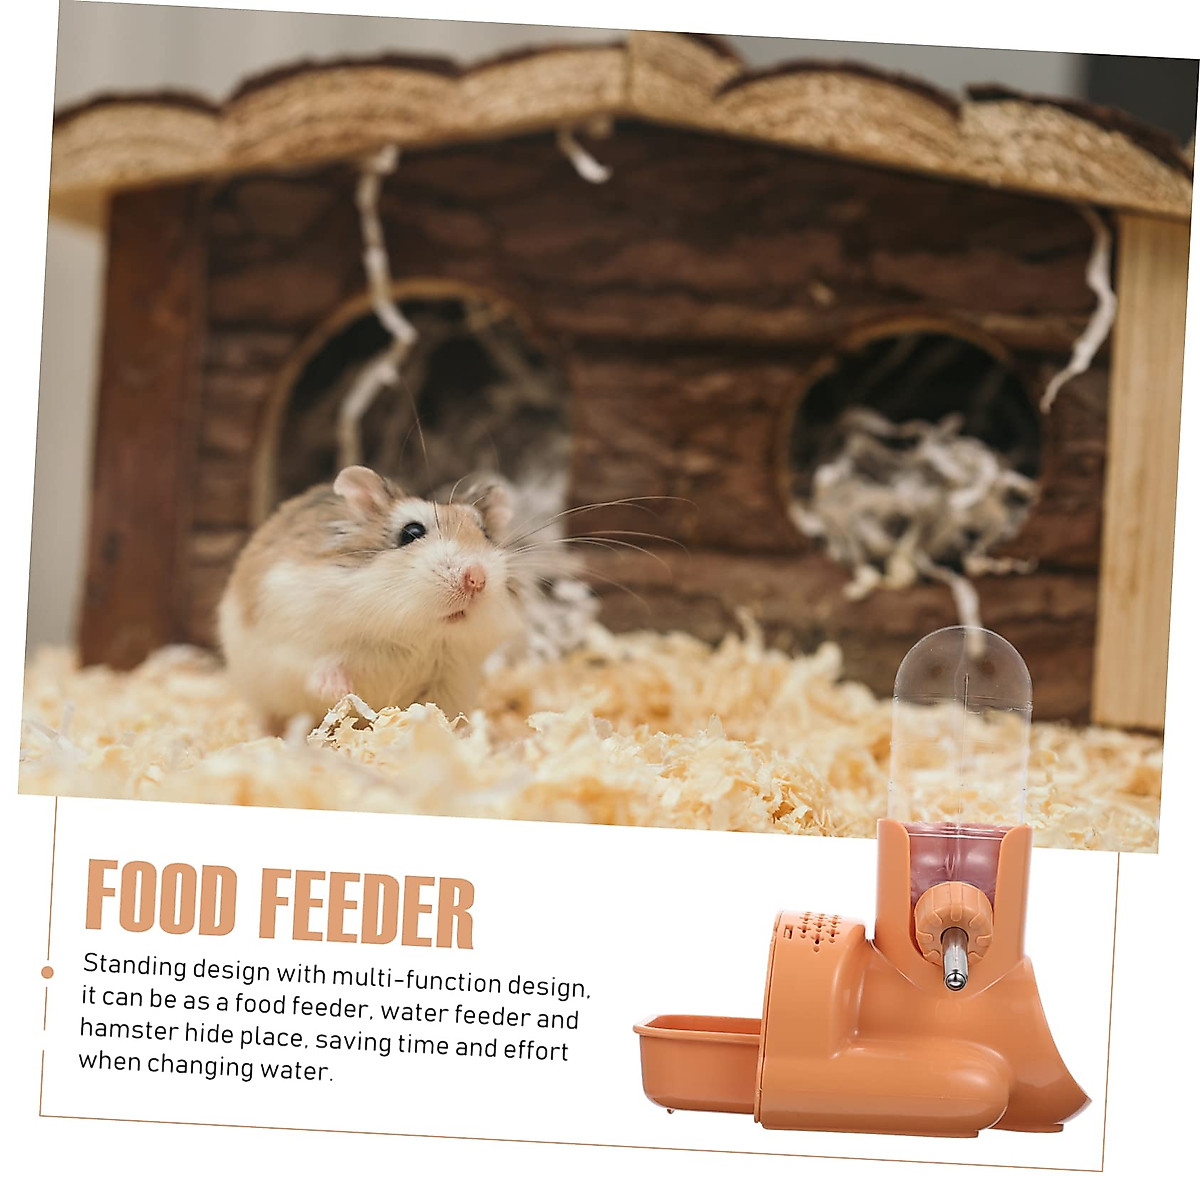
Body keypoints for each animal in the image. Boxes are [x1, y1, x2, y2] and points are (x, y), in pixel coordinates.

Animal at [217, 465, 524, 728]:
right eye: (411, 532)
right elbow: (318, 666)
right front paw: (340, 691)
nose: (476, 578)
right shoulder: (294, 641)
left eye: (485, 534)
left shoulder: (451, 679)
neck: (415, 634)